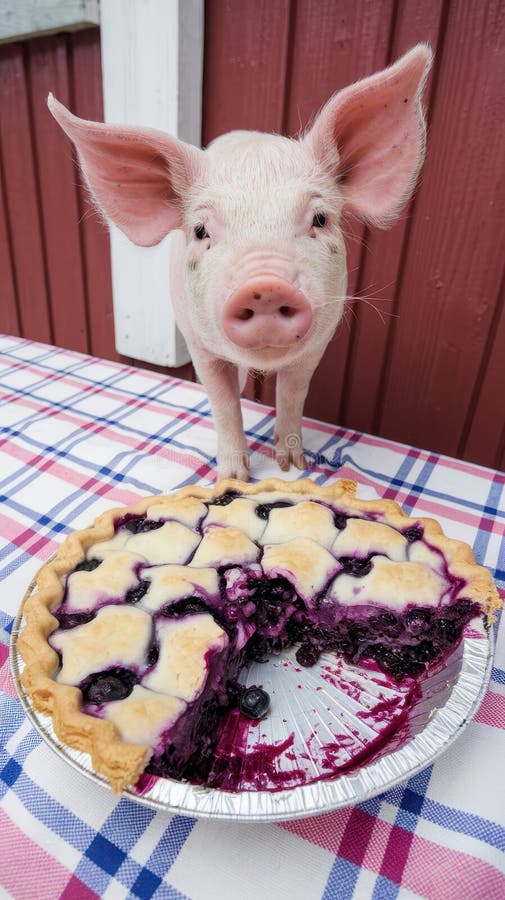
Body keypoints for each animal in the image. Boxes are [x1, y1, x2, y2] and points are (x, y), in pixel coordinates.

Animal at [48, 44, 431, 481]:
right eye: (201, 231)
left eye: (320, 219)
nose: (265, 286)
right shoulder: (198, 343)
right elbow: (224, 403)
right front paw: (233, 479)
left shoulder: (317, 345)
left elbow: (292, 395)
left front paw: (293, 467)